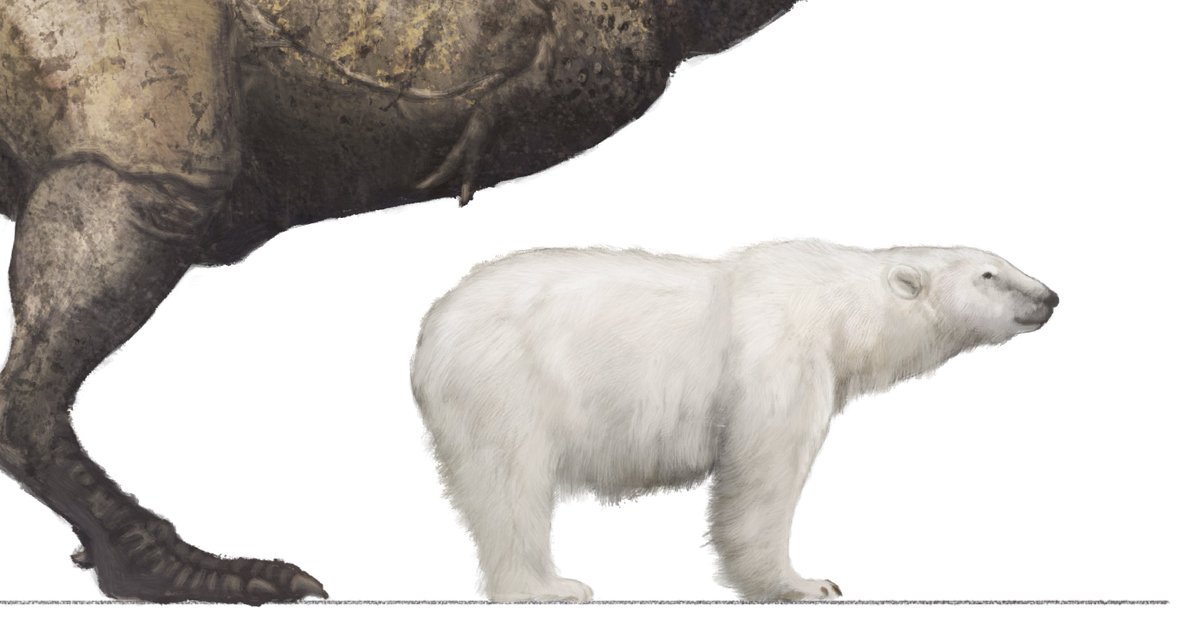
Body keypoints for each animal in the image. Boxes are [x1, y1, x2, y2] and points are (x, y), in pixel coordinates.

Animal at [409, 239, 1058, 602]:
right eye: (988, 276)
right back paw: (548, 588)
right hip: (506, 382)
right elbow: (765, 473)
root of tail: (430, 334)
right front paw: (805, 585)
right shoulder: (784, 357)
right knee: (510, 484)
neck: (841, 309)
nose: (1049, 297)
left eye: (1001, 262)